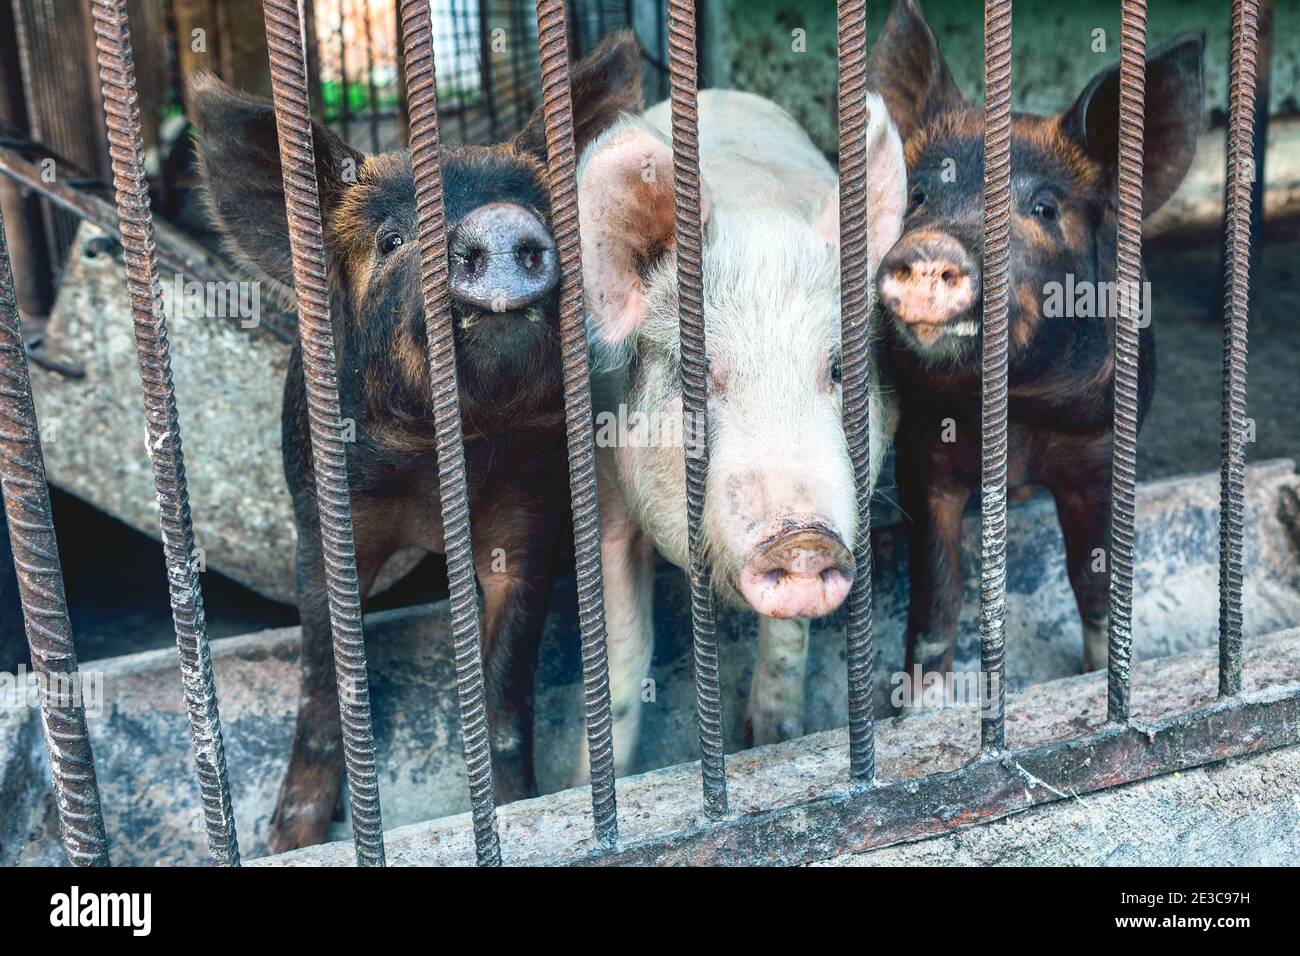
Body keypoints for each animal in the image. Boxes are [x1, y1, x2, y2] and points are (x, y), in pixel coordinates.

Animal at [191, 32, 643, 852]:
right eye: (392, 238)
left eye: (539, 211)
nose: (499, 222)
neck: (437, 468)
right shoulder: (325, 507)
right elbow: (323, 681)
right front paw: (290, 843)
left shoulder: (531, 504)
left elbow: (508, 684)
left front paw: (522, 809)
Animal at [572, 87, 906, 776]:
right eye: (696, 375)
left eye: (839, 369)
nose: (803, 538)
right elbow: (625, 647)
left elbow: (786, 640)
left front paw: (773, 739)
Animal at [867, 0, 1203, 686]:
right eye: (918, 195)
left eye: (1045, 208)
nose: (931, 246)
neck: (1017, 413)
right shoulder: (921, 451)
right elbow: (936, 601)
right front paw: (923, 701)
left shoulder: (1099, 450)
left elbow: (1093, 583)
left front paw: (1094, 675)